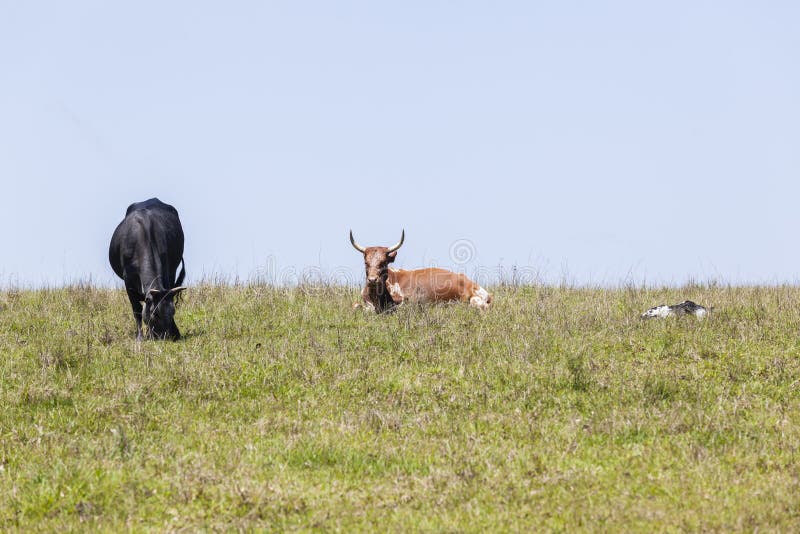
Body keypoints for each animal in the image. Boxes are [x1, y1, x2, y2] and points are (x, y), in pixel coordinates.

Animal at [109, 198, 187, 340]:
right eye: (155, 313)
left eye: (173, 312)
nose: (165, 337)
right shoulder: (128, 281)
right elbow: (137, 310)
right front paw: (140, 337)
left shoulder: (168, 271)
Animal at [349, 230, 492, 313]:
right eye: (366, 263)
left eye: (383, 263)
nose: (372, 280)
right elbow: (356, 306)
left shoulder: (408, 303)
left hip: (474, 300)